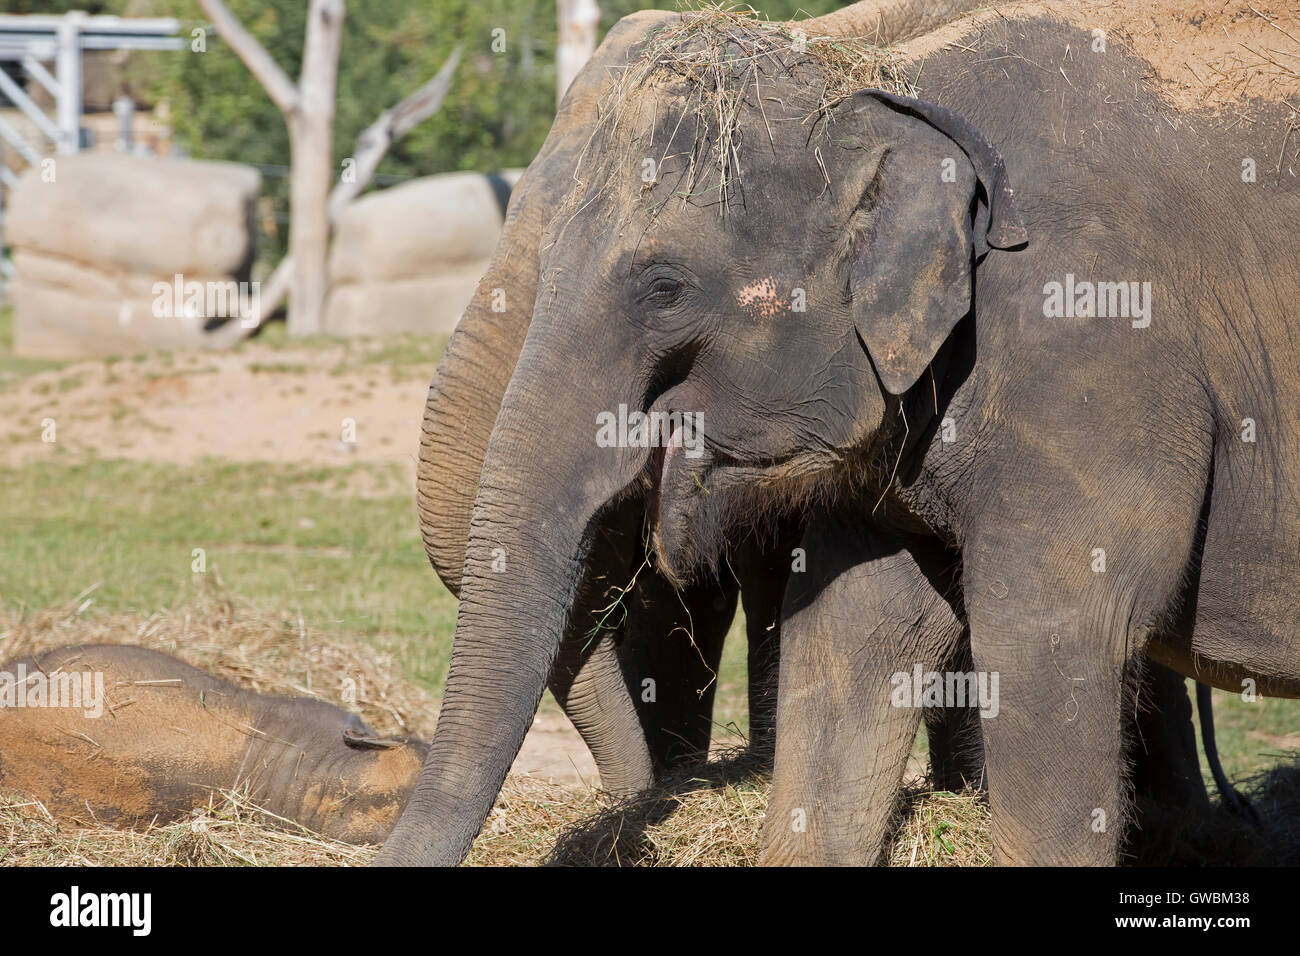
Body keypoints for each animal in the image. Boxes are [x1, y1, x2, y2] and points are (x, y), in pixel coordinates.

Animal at [381, 0, 1298, 866]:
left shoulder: (1093, 344)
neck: (878, 75)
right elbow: (854, 628)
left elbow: (1051, 633)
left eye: (663, 288)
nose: (639, 808)